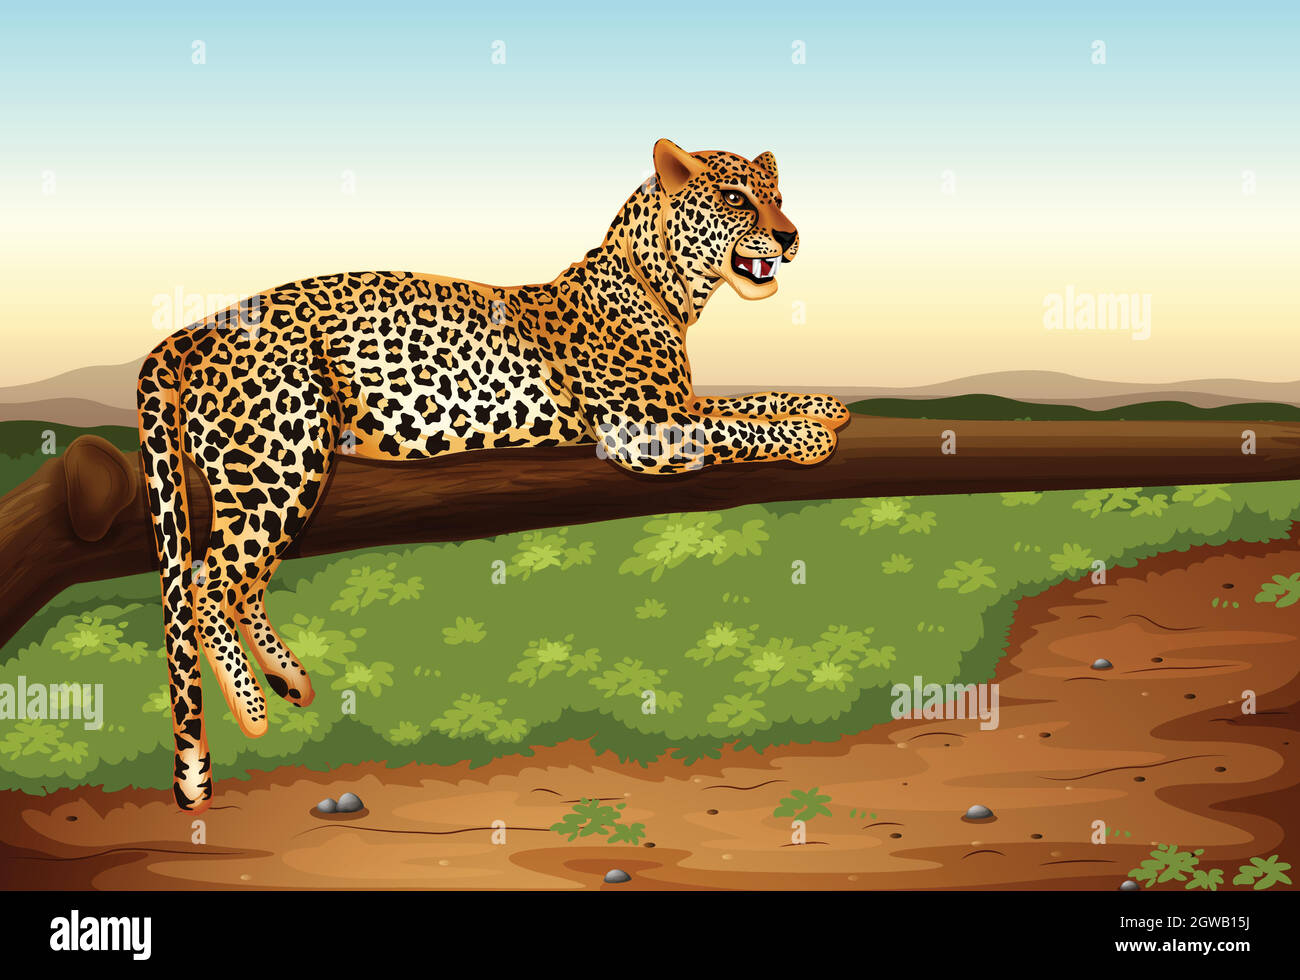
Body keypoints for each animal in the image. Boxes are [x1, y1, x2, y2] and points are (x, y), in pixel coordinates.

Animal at [137, 139, 851, 811]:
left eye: (779, 196)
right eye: (736, 198)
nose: (790, 237)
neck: (665, 289)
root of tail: (192, 330)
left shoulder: (679, 406)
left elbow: (749, 402)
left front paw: (821, 405)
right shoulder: (645, 427)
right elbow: (742, 429)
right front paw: (811, 436)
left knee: (240, 582)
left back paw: (291, 680)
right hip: (280, 464)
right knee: (207, 583)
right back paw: (254, 706)